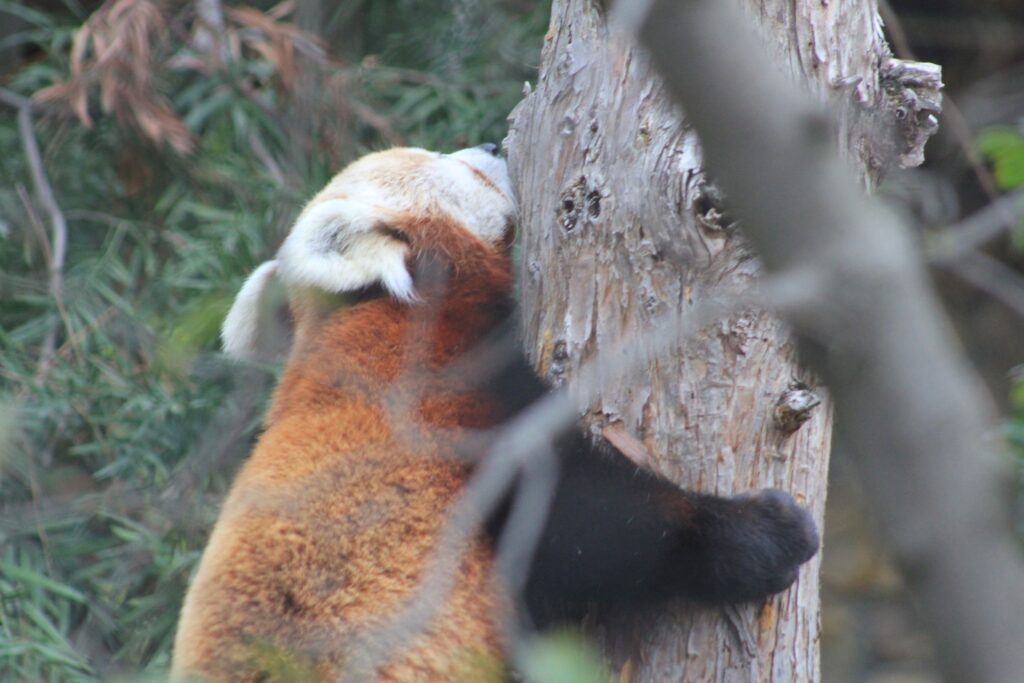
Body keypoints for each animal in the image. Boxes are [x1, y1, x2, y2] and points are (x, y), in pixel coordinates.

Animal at [170, 145, 819, 682]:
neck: (379, 319)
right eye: (447, 162)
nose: (491, 145)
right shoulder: (449, 419)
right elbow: (591, 523)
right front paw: (760, 534)